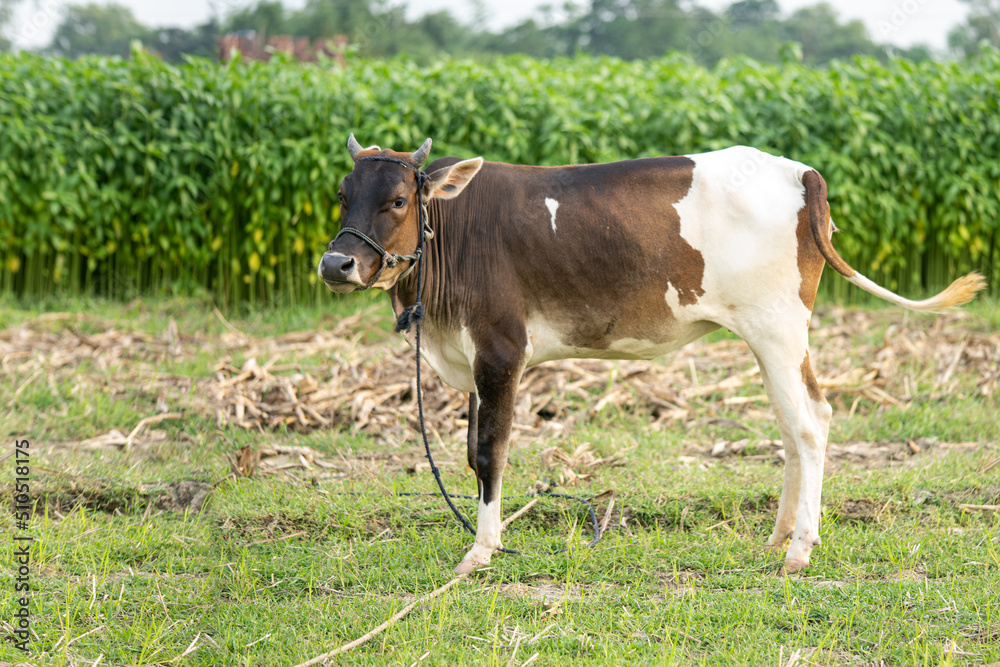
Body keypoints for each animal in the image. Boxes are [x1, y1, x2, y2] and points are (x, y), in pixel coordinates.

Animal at [318, 134, 985, 575]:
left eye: (399, 199)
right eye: (343, 194)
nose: (335, 263)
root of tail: (800, 172)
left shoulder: (502, 350)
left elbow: (489, 453)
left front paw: (480, 552)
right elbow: (471, 454)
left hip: (778, 327)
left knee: (809, 423)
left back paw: (799, 550)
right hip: (771, 337)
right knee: (795, 422)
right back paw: (779, 537)